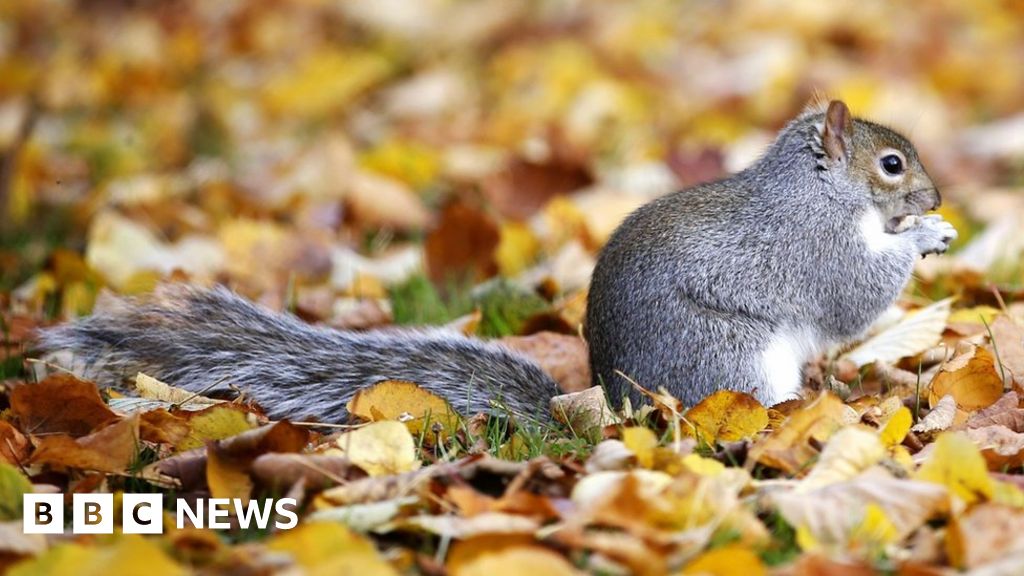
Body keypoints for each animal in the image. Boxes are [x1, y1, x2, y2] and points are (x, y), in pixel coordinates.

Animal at [36, 100, 955, 424]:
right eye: (891, 166)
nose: (937, 194)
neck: (819, 190)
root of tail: (614, 410)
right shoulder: (810, 246)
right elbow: (854, 294)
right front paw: (922, 238)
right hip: (734, 362)